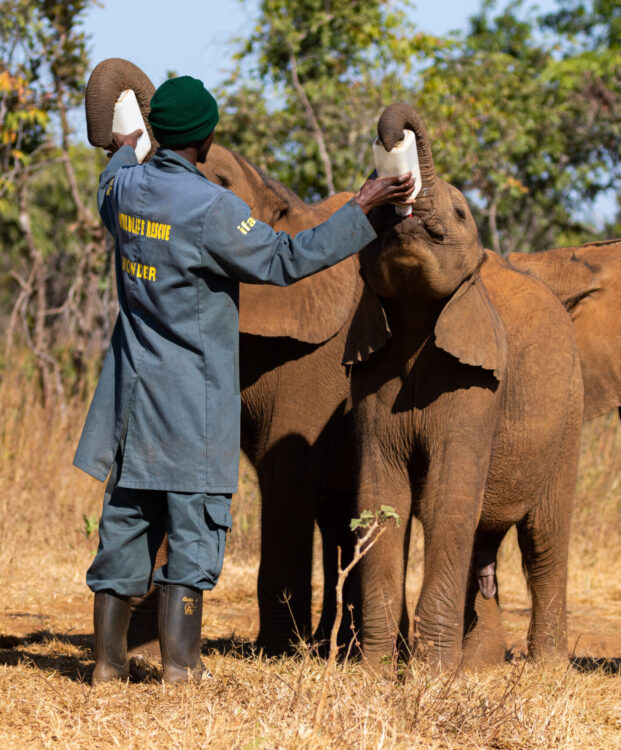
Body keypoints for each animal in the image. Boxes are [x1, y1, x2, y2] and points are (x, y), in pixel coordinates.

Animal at [344, 102, 588, 672]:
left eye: (458, 213)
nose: (399, 198)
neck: (415, 318)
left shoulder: (479, 383)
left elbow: (445, 497)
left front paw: (431, 674)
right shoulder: (370, 374)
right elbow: (382, 495)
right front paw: (375, 671)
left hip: (569, 413)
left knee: (544, 540)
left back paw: (547, 669)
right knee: (485, 537)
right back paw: (476, 664)